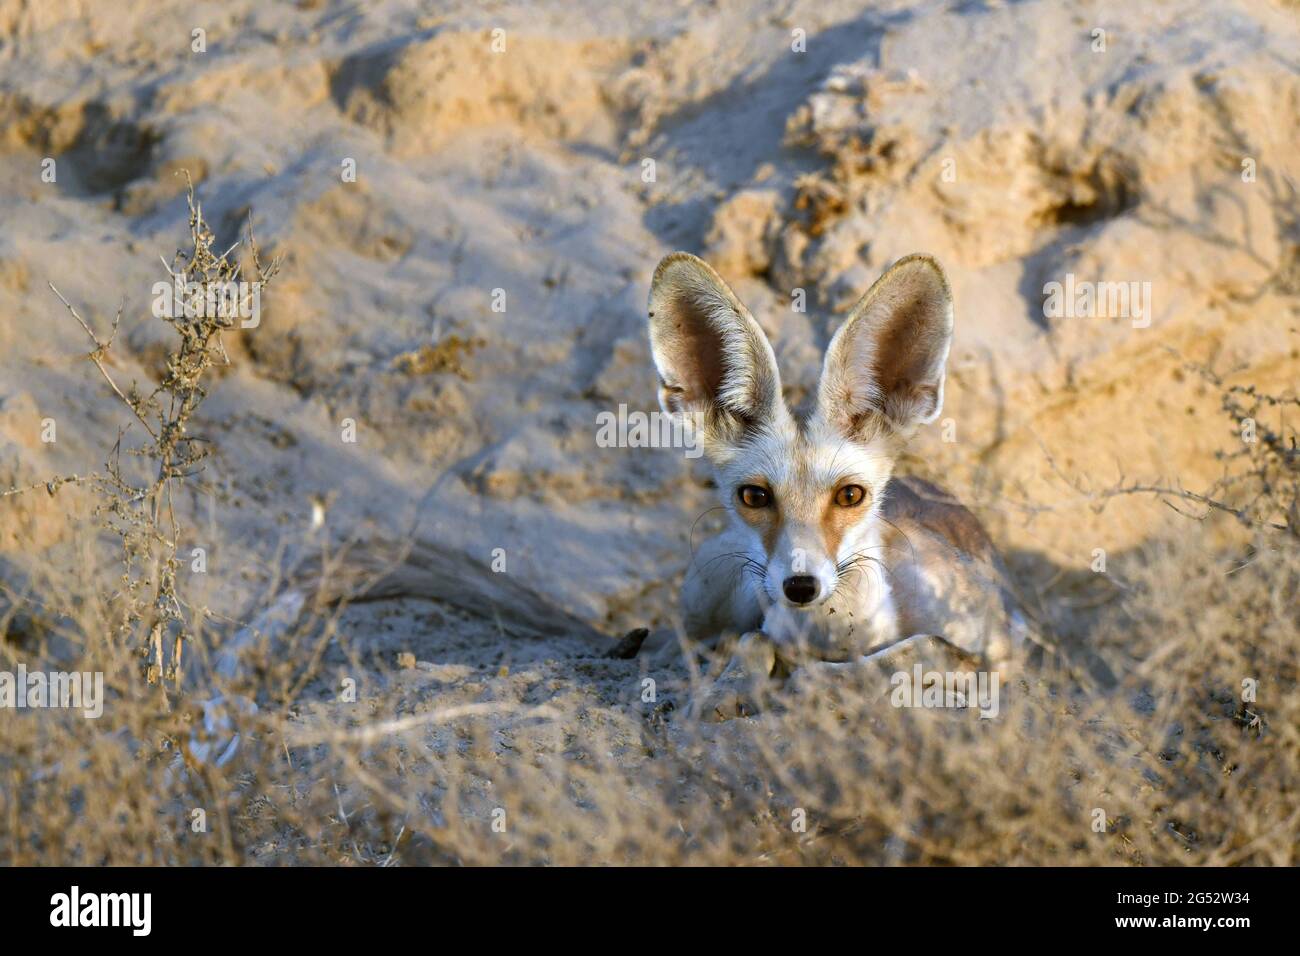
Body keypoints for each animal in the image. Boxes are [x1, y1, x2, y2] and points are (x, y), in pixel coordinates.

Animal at [646, 251, 1031, 717]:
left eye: (850, 495)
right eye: (754, 496)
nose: (800, 585)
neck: (835, 636)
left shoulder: (1007, 650)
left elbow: (912, 650)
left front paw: (812, 682)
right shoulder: (768, 622)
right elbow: (755, 641)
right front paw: (724, 692)